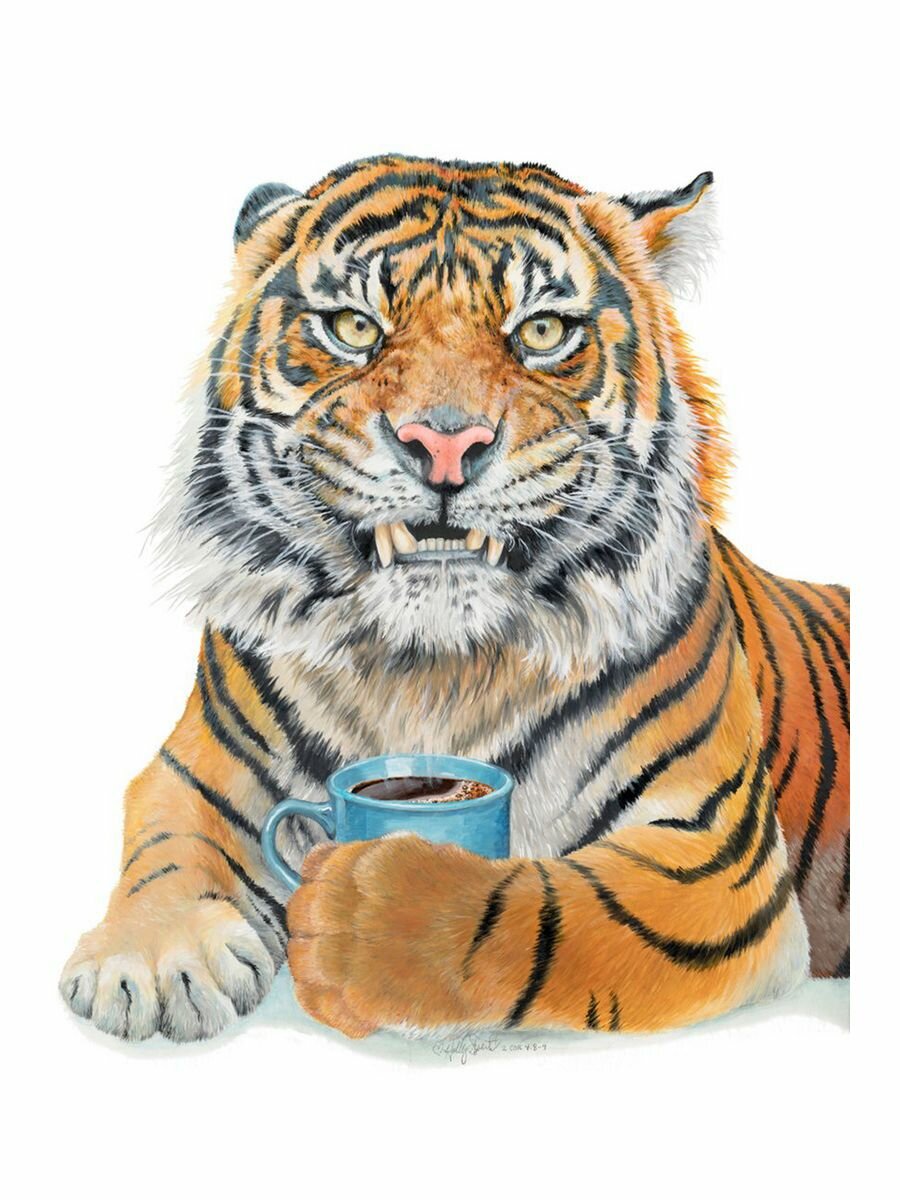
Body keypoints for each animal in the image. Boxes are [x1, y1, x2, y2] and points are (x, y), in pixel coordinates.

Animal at [59, 155, 849, 1042]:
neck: (429, 669)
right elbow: (167, 839)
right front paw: (153, 961)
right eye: (353, 327)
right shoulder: (195, 767)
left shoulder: (709, 855)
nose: (443, 444)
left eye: (541, 332)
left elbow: (539, 911)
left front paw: (361, 914)